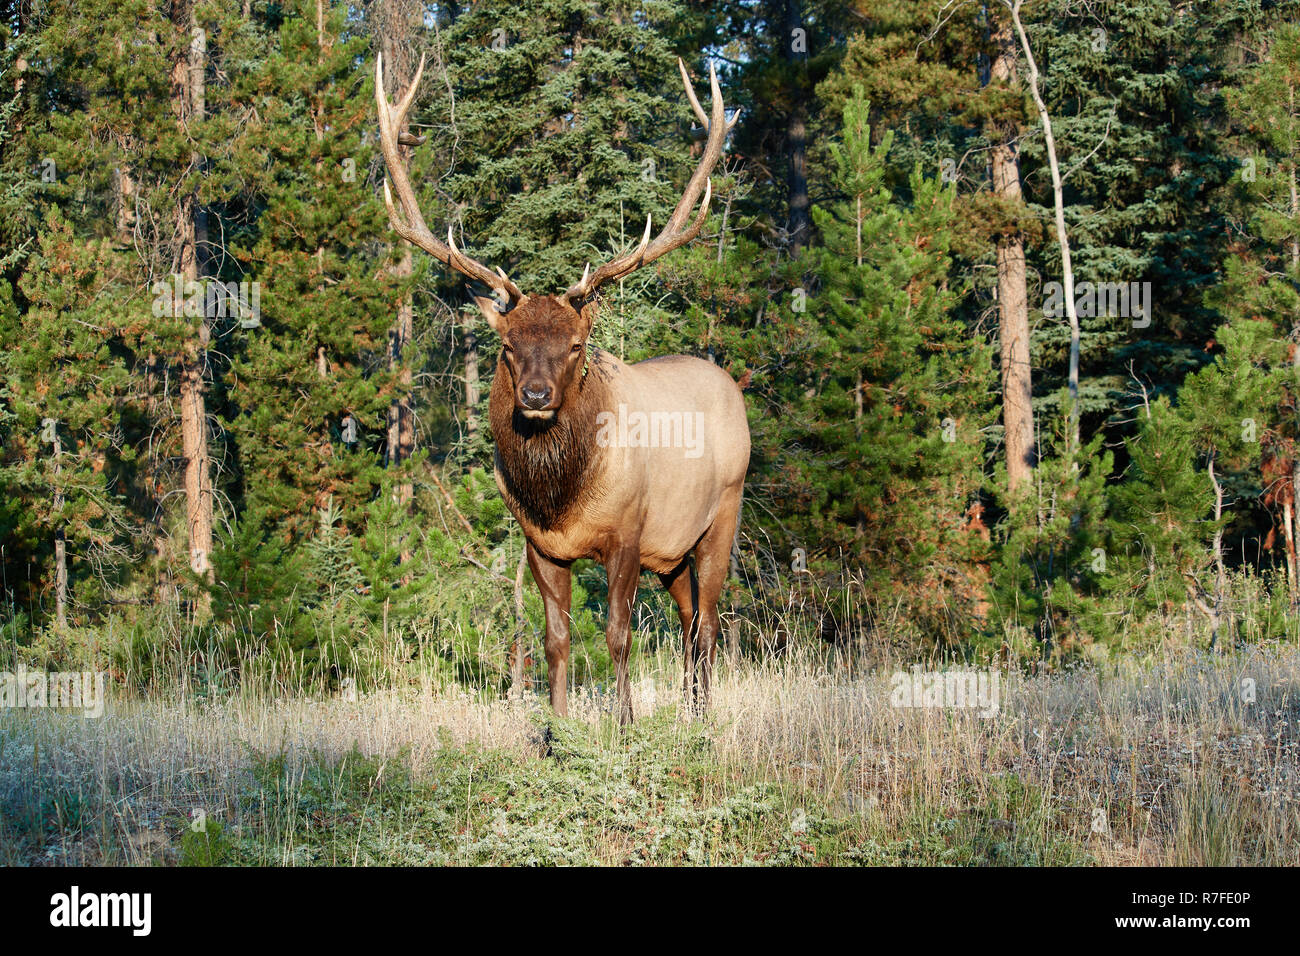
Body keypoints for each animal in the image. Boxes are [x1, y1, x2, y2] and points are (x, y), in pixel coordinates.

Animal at [375, 52, 750, 725]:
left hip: (720, 517)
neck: (561, 495)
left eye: (575, 345)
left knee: (708, 622)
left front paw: (625, 724)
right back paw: (689, 710)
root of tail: (731, 387)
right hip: (672, 552)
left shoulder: (629, 532)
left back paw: (703, 717)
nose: (536, 395)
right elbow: (555, 639)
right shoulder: (540, 545)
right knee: (687, 618)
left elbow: (619, 634)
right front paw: (556, 725)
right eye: (507, 346)